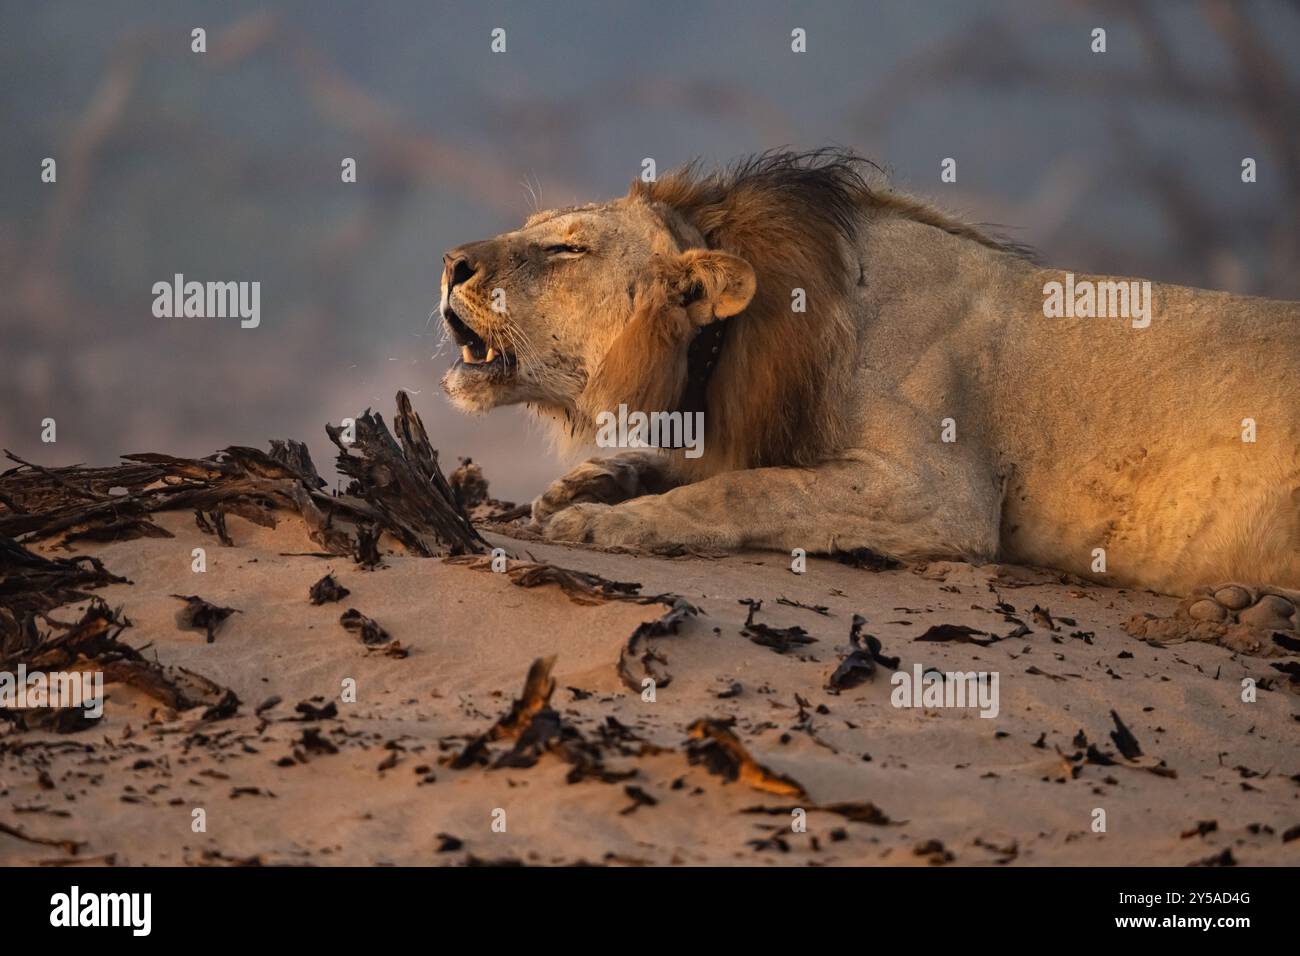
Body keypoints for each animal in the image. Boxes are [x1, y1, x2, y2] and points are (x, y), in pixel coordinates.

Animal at [439, 149, 1300, 651]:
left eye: (566, 248)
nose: (450, 263)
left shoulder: (936, 493)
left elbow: (744, 493)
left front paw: (603, 524)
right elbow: (678, 468)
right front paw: (578, 488)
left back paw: (1246, 611)